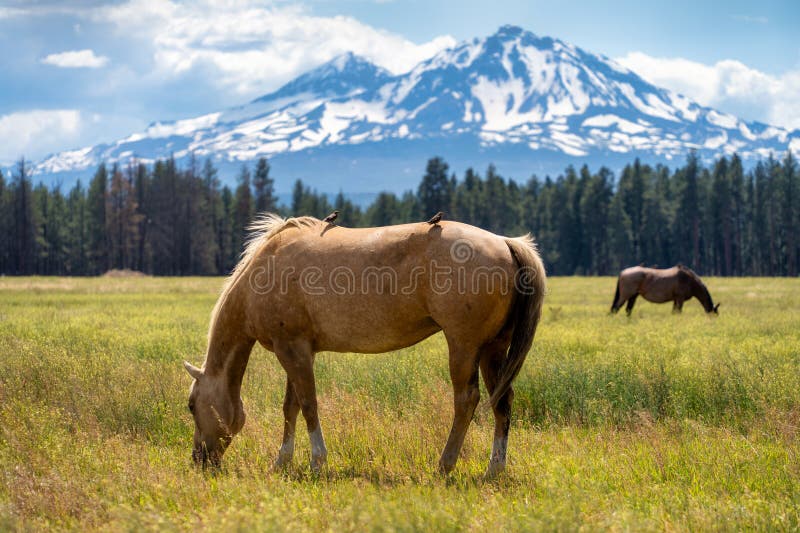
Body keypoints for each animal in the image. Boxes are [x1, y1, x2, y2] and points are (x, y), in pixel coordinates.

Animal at [183, 214, 546, 478]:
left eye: (190, 406)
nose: (199, 459)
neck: (264, 270)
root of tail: (506, 243)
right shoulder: (298, 351)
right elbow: (292, 407)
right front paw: (282, 461)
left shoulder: (293, 351)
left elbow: (309, 405)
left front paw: (317, 462)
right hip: (493, 348)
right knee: (502, 402)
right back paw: (494, 469)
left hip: (464, 346)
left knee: (466, 401)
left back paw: (444, 465)